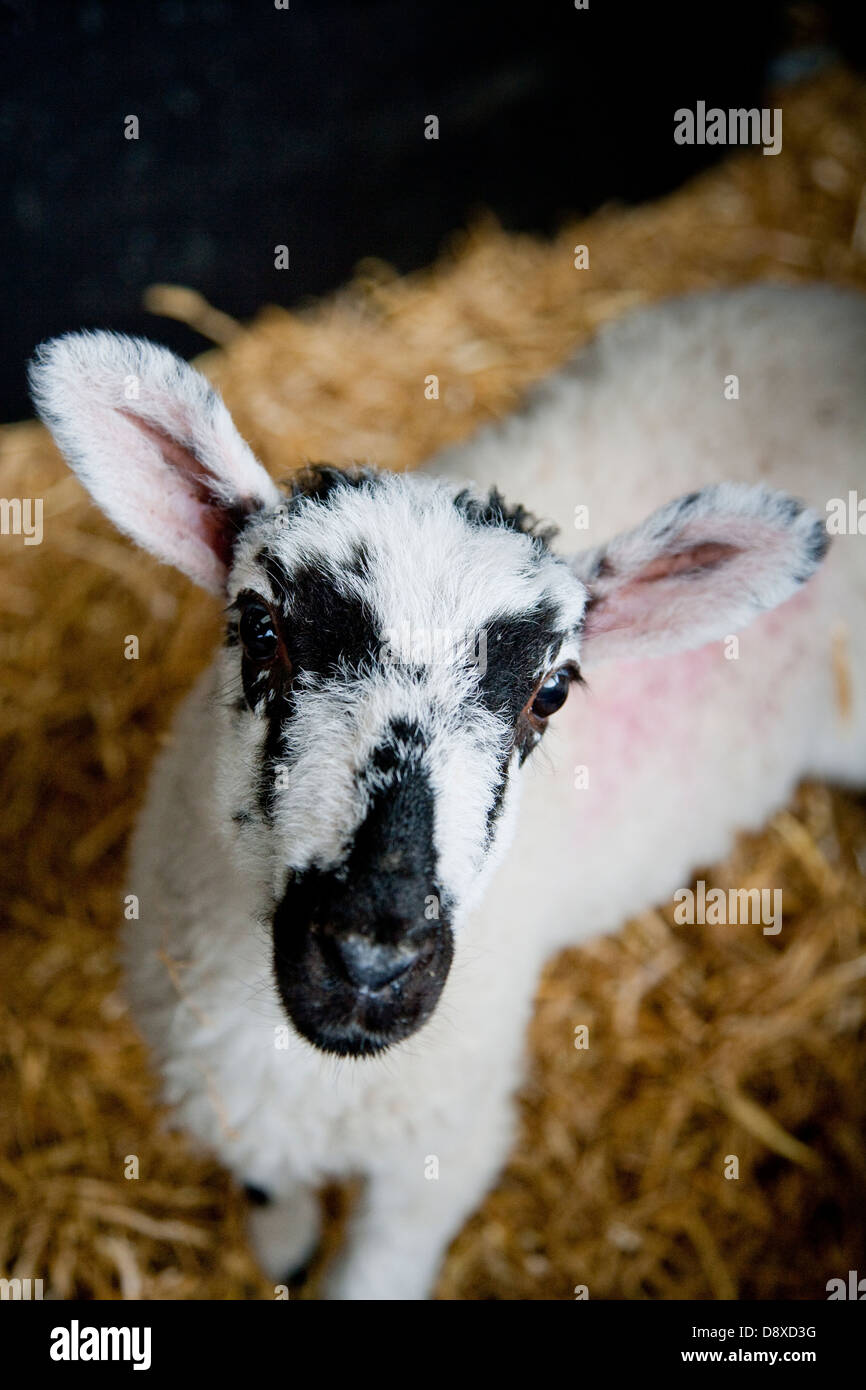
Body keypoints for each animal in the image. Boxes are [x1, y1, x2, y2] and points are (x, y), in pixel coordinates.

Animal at [29, 282, 866, 1300]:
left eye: (550, 692)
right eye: (262, 628)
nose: (371, 959)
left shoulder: (440, 1160)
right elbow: (270, 1190)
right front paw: (282, 1245)